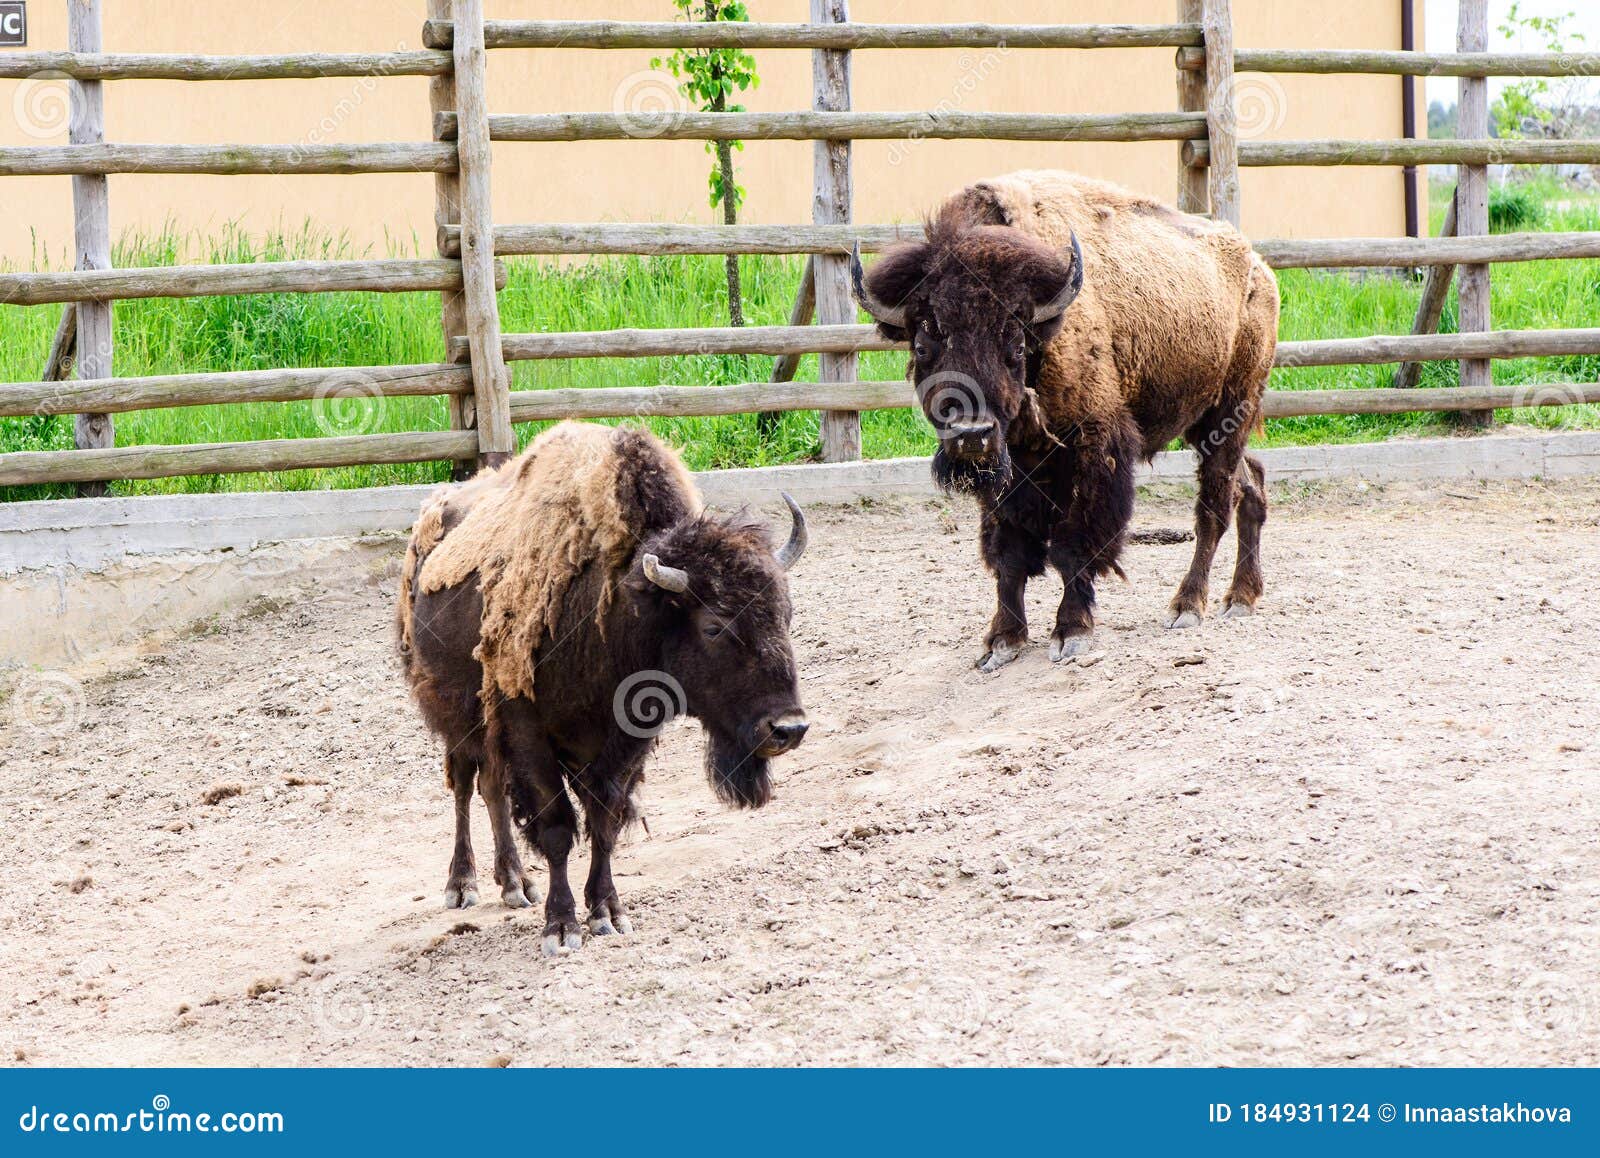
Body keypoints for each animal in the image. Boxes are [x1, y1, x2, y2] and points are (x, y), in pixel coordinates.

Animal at [397, 422, 809, 955]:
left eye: (785, 614)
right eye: (715, 626)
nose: (789, 729)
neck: (617, 608)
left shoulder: (624, 744)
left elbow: (605, 820)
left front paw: (608, 913)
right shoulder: (528, 733)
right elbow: (557, 828)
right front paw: (562, 928)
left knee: (491, 789)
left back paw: (515, 884)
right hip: (456, 717)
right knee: (466, 785)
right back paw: (462, 885)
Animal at [851, 170, 1279, 671]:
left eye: (1015, 343)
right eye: (922, 345)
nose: (971, 434)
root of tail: (1260, 269)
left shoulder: (1091, 451)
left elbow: (1073, 545)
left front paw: (1071, 633)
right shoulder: (1004, 473)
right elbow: (1008, 553)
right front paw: (1002, 641)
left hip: (1228, 412)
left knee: (1213, 509)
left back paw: (1187, 607)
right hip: (1209, 423)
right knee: (1251, 486)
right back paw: (1241, 598)